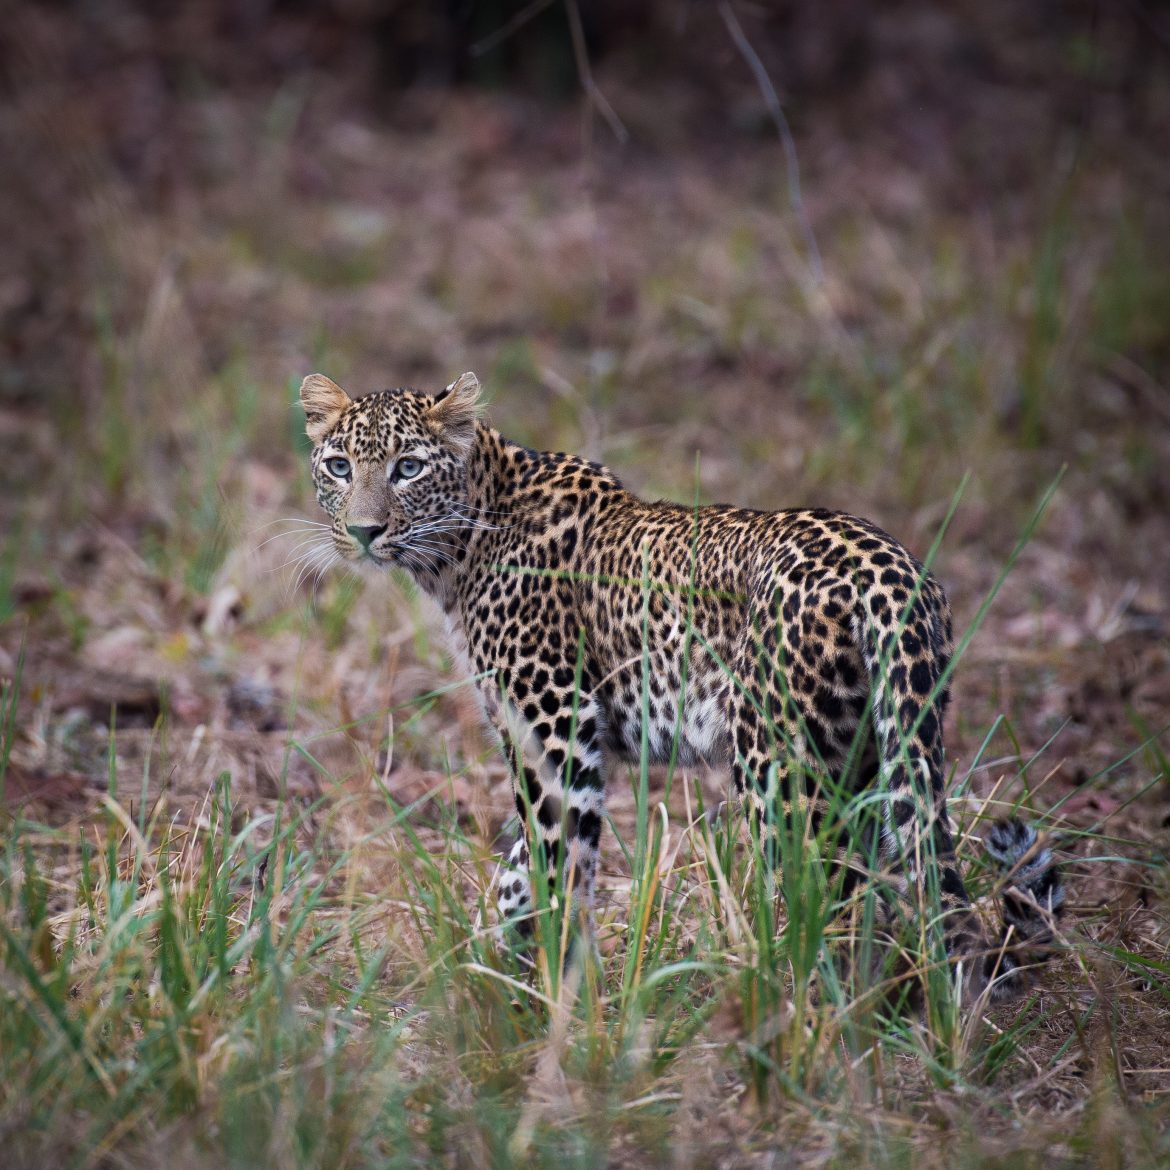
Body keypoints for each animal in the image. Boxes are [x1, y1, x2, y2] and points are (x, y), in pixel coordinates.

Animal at [299, 369, 1064, 1002]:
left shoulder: (556, 731)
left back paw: (805, 1020)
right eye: (339, 467)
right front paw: (508, 977)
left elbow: (554, 866)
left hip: (779, 768)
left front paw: (552, 1001)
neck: (457, 555)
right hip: (880, 751)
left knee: (829, 901)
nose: (363, 532)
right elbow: (519, 874)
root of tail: (888, 568)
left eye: (407, 468)